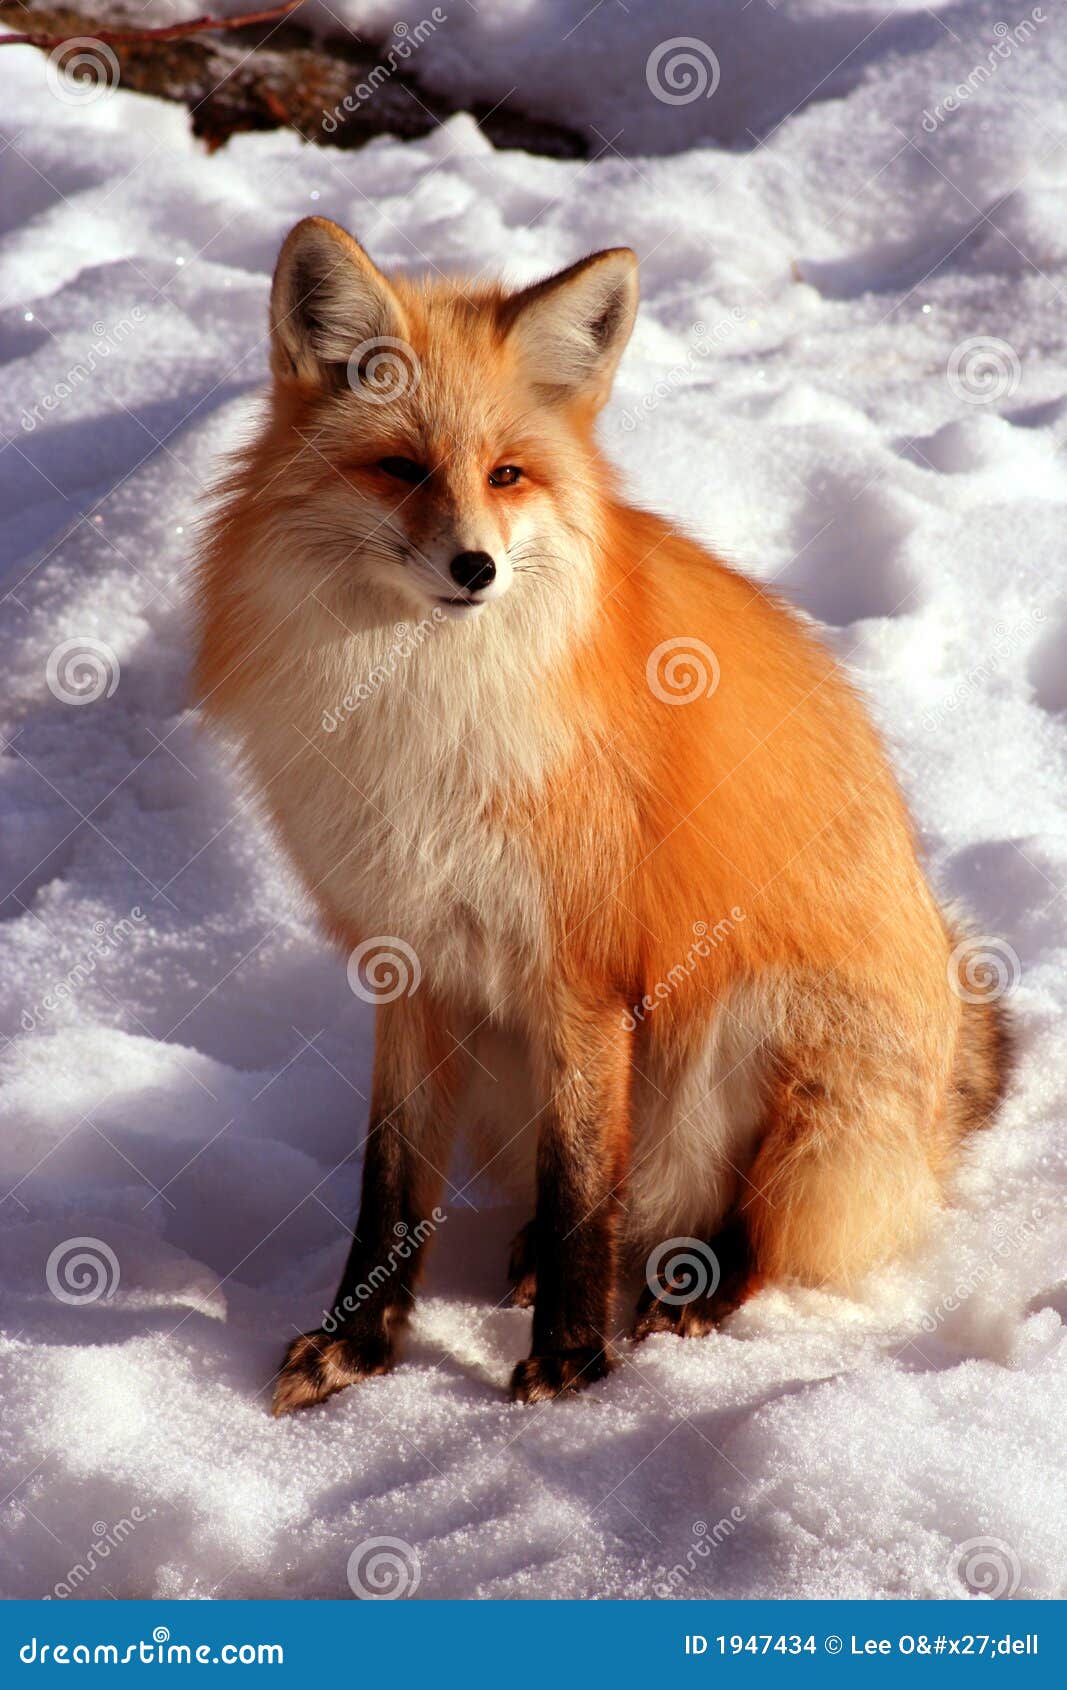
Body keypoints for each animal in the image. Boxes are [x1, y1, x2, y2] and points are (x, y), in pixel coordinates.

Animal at [193, 216, 1011, 1414]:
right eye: (399, 468)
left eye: (507, 474)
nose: (475, 567)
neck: (425, 710)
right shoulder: (411, 963)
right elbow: (391, 1187)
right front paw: (357, 1349)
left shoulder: (583, 974)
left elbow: (585, 1185)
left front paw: (573, 1361)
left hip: (755, 1029)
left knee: (762, 1224)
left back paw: (694, 1286)